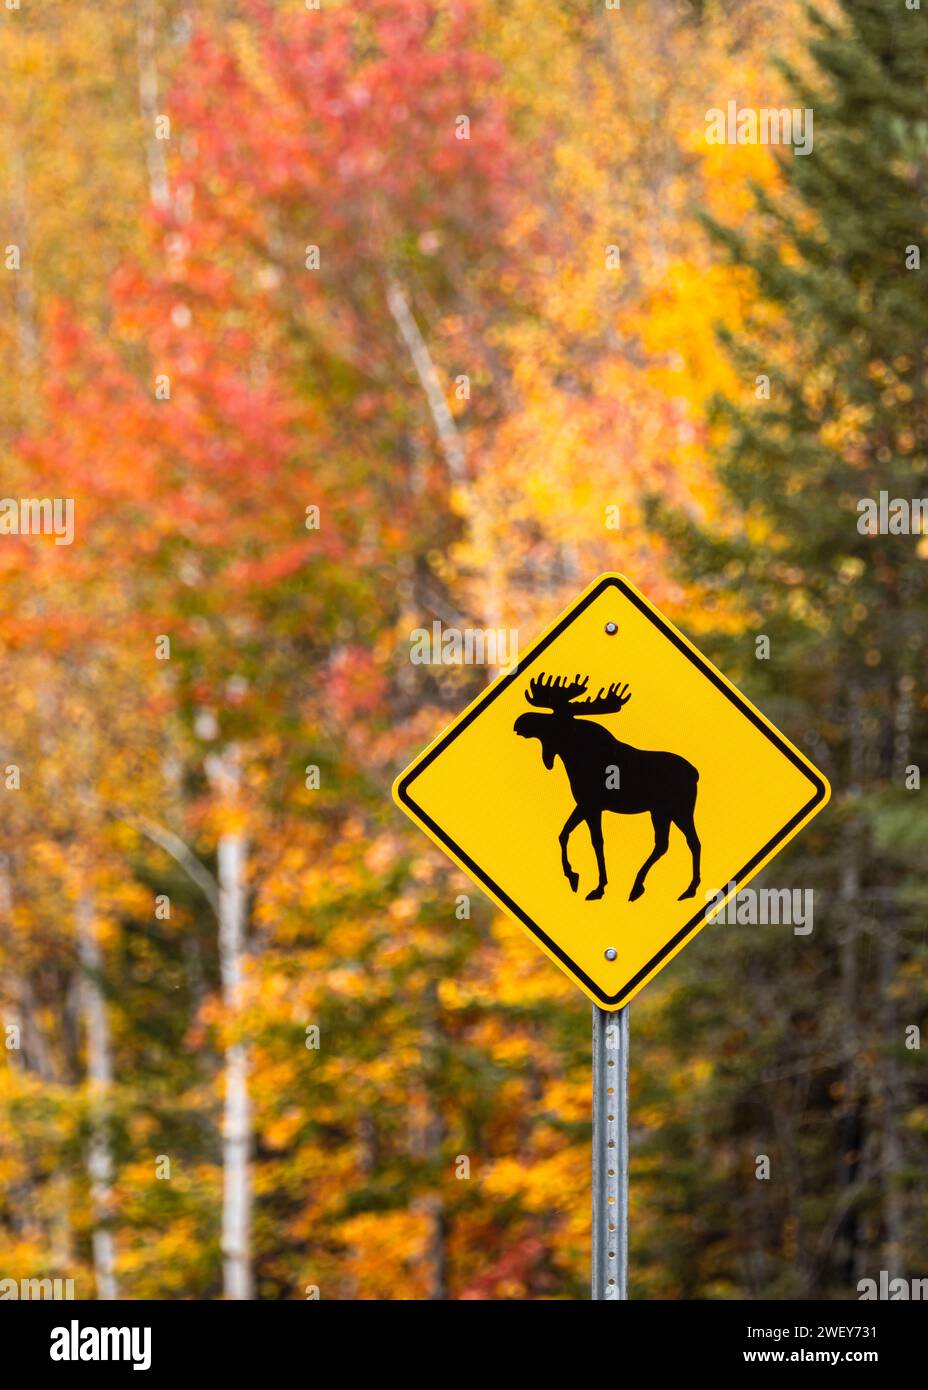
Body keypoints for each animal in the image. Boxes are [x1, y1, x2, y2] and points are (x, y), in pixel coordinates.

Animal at [513, 673, 701, 903]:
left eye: (556, 719)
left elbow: (596, 842)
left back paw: (688, 889)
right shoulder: (584, 804)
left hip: (680, 810)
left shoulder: (592, 805)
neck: (574, 757)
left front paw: (598, 887)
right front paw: (573, 876)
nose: (522, 720)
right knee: (663, 844)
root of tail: (695, 773)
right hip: (660, 812)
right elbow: (563, 834)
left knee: (692, 842)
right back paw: (639, 886)